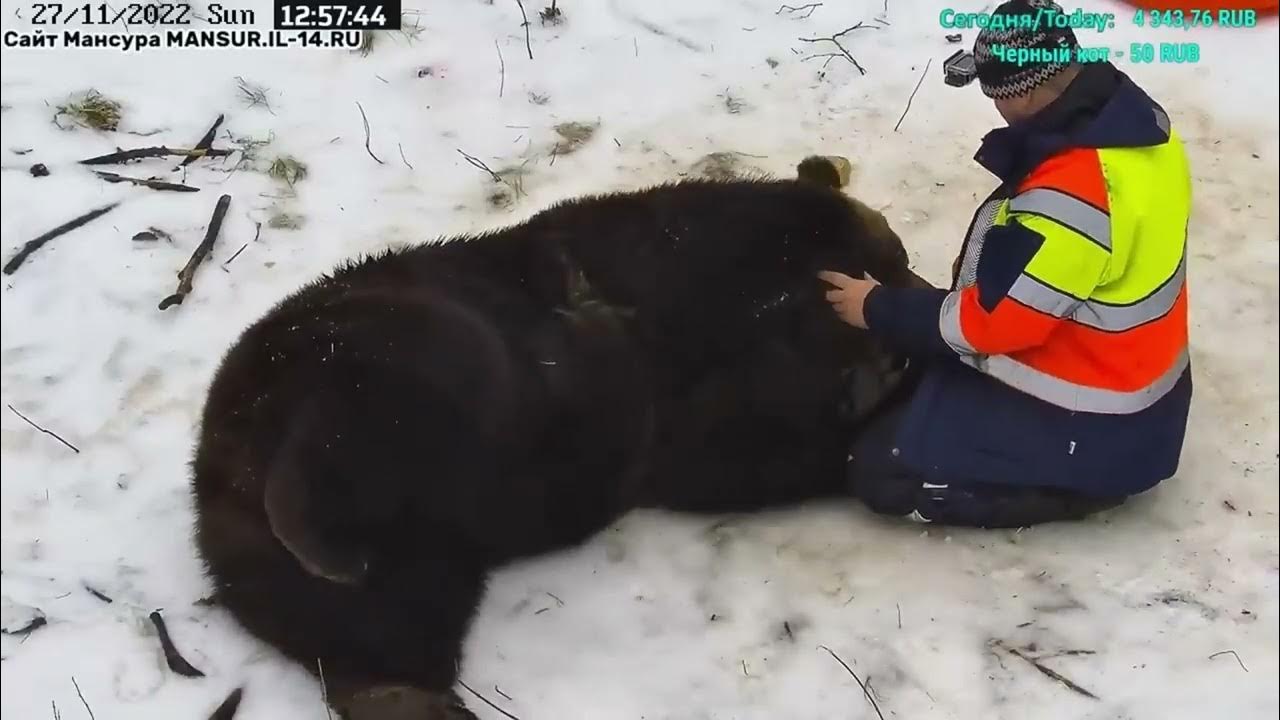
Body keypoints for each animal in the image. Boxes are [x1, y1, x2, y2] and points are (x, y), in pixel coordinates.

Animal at [189, 156, 924, 720]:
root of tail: (220, 484)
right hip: (376, 348)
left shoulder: (703, 424)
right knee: (384, 396)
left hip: (414, 557)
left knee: (383, 637)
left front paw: (875, 376)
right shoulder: (677, 267)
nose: (910, 283)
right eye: (897, 253)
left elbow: (760, 442)